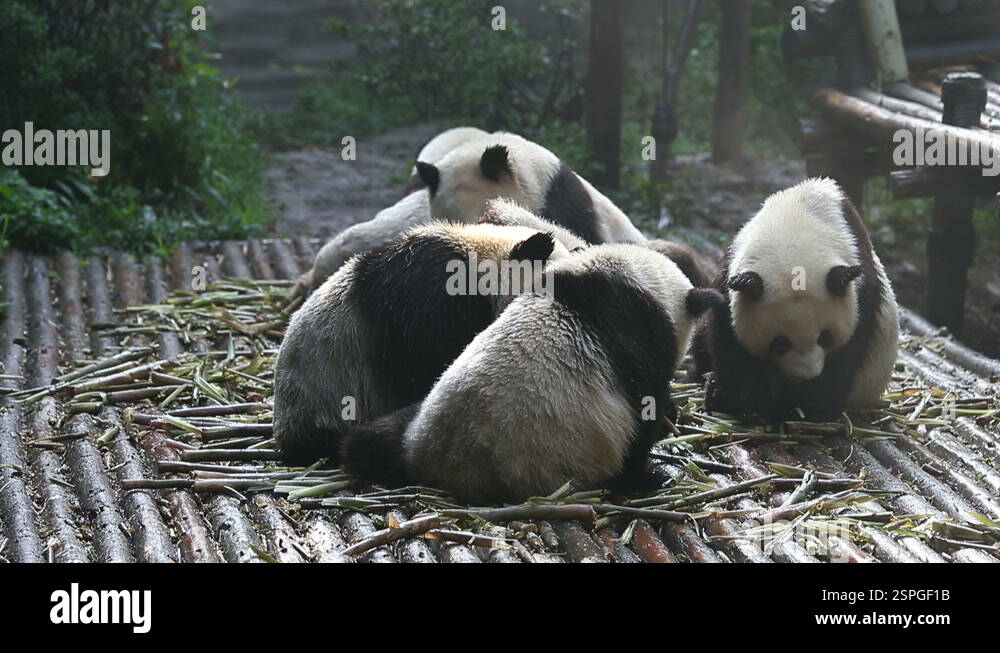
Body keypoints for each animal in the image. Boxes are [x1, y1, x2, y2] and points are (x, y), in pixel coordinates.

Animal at [341, 244, 725, 505]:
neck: (634, 278)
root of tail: (434, 462)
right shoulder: (639, 336)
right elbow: (644, 412)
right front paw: (658, 444)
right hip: (557, 460)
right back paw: (649, 478)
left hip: (418, 416)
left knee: (372, 438)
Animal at [688, 177, 899, 422]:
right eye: (780, 343)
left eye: (825, 337)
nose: (806, 375)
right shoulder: (729, 275)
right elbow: (731, 346)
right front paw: (731, 395)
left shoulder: (861, 296)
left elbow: (844, 363)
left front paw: (795, 403)